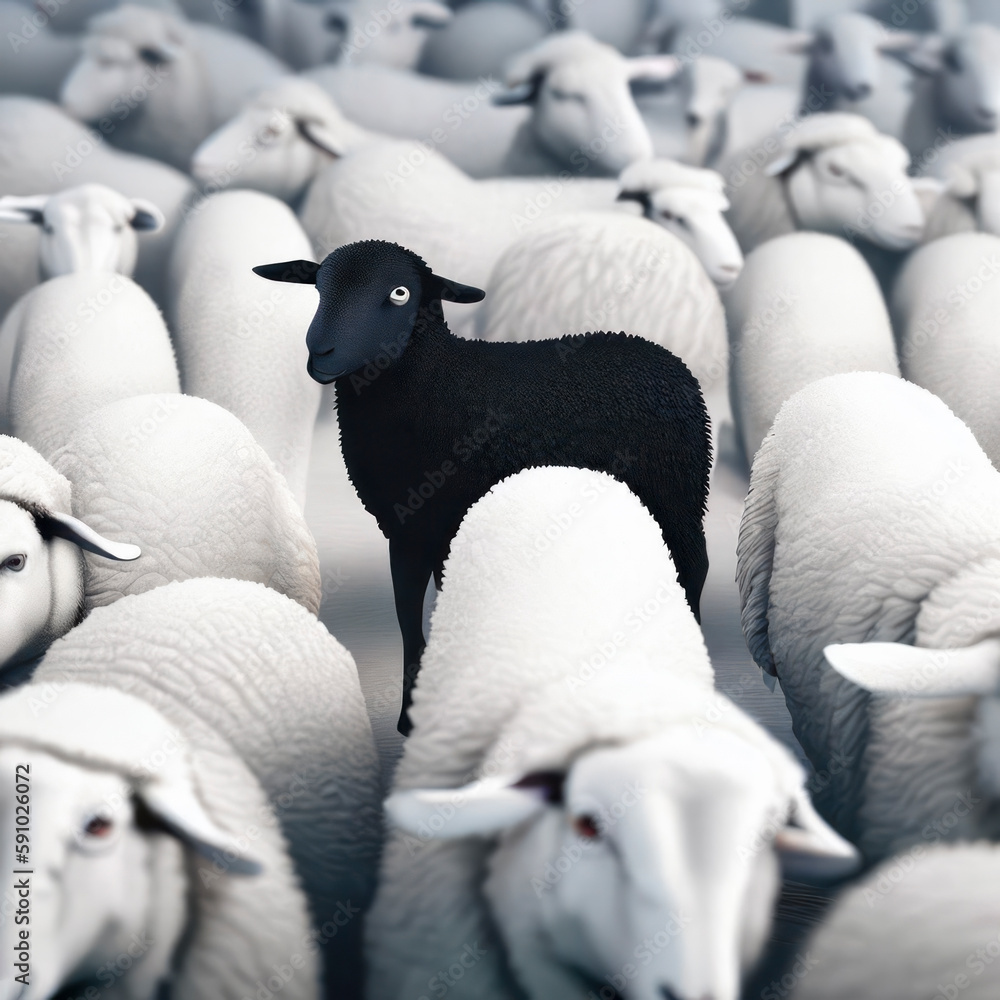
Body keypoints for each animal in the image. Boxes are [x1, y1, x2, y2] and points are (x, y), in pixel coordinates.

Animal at [254, 239, 712, 731]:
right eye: (319, 288)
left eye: (400, 293)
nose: (320, 352)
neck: (432, 381)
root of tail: (671, 360)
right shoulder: (414, 525)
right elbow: (422, 606)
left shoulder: (428, 523)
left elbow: (413, 609)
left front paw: (416, 714)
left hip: (677, 487)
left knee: (693, 565)